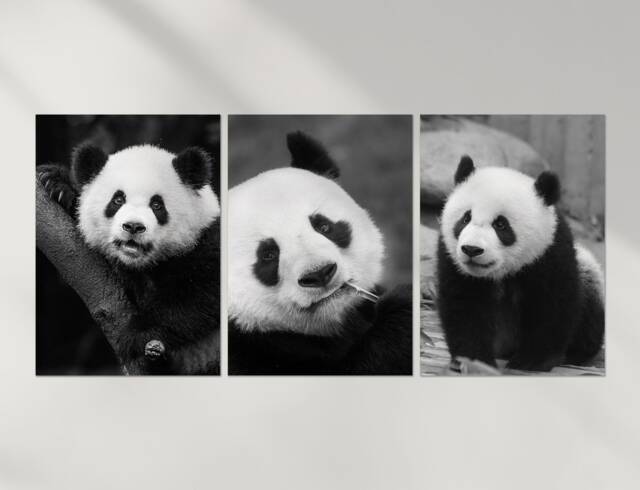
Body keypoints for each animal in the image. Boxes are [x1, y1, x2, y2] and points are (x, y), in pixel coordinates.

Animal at [37, 144, 221, 375]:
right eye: (118, 200)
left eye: (157, 205)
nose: (133, 226)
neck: (142, 264)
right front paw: (57, 185)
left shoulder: (208, 243)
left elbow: (198, 296)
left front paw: (136, 335)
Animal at [437, 155, 605, 372]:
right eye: (465, 218)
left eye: (501, 224)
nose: (472, 250)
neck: (501, 272)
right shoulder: (453, 261)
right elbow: (465, 306)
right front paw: (473, 361)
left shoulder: (549, 252)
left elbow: (551, 305)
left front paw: (532, 361)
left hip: (587, 273)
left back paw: (575, 354)